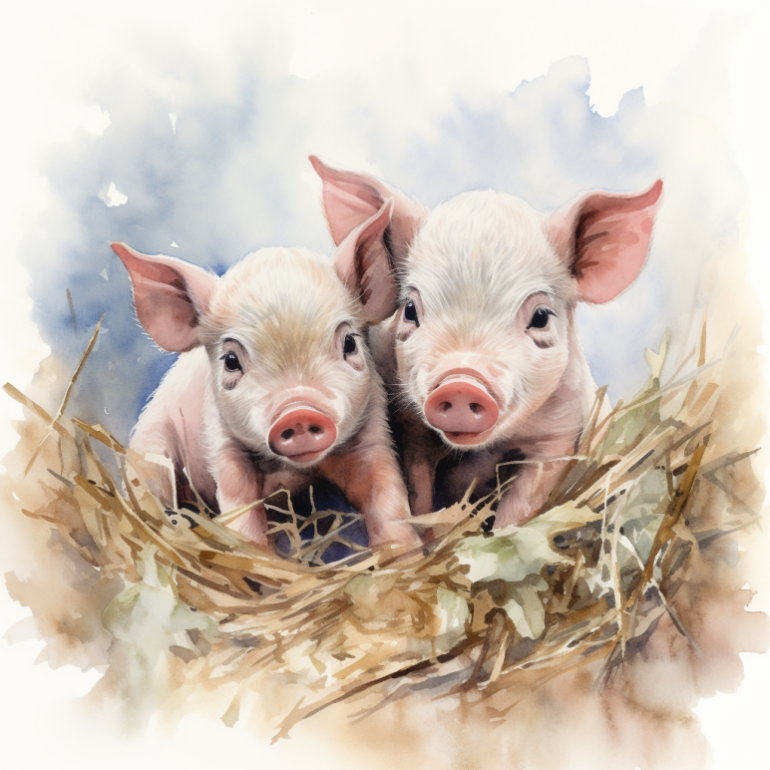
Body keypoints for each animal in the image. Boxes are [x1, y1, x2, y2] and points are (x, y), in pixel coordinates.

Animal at [111, 200, 420, 551]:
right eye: (231, 361)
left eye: (350, 344)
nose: (298, 411)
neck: (297, 471)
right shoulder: (223, 447)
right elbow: (243, 517)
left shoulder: (372, 433)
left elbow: (386, 498)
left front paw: (405, 554)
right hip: (150, 447)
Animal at [310, 155, 662, 528]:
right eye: (409, 310)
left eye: (541, 316)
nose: (461, 384)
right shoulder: (409, 429)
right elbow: (420, 497)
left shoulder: (558, 434)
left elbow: (522, 504)